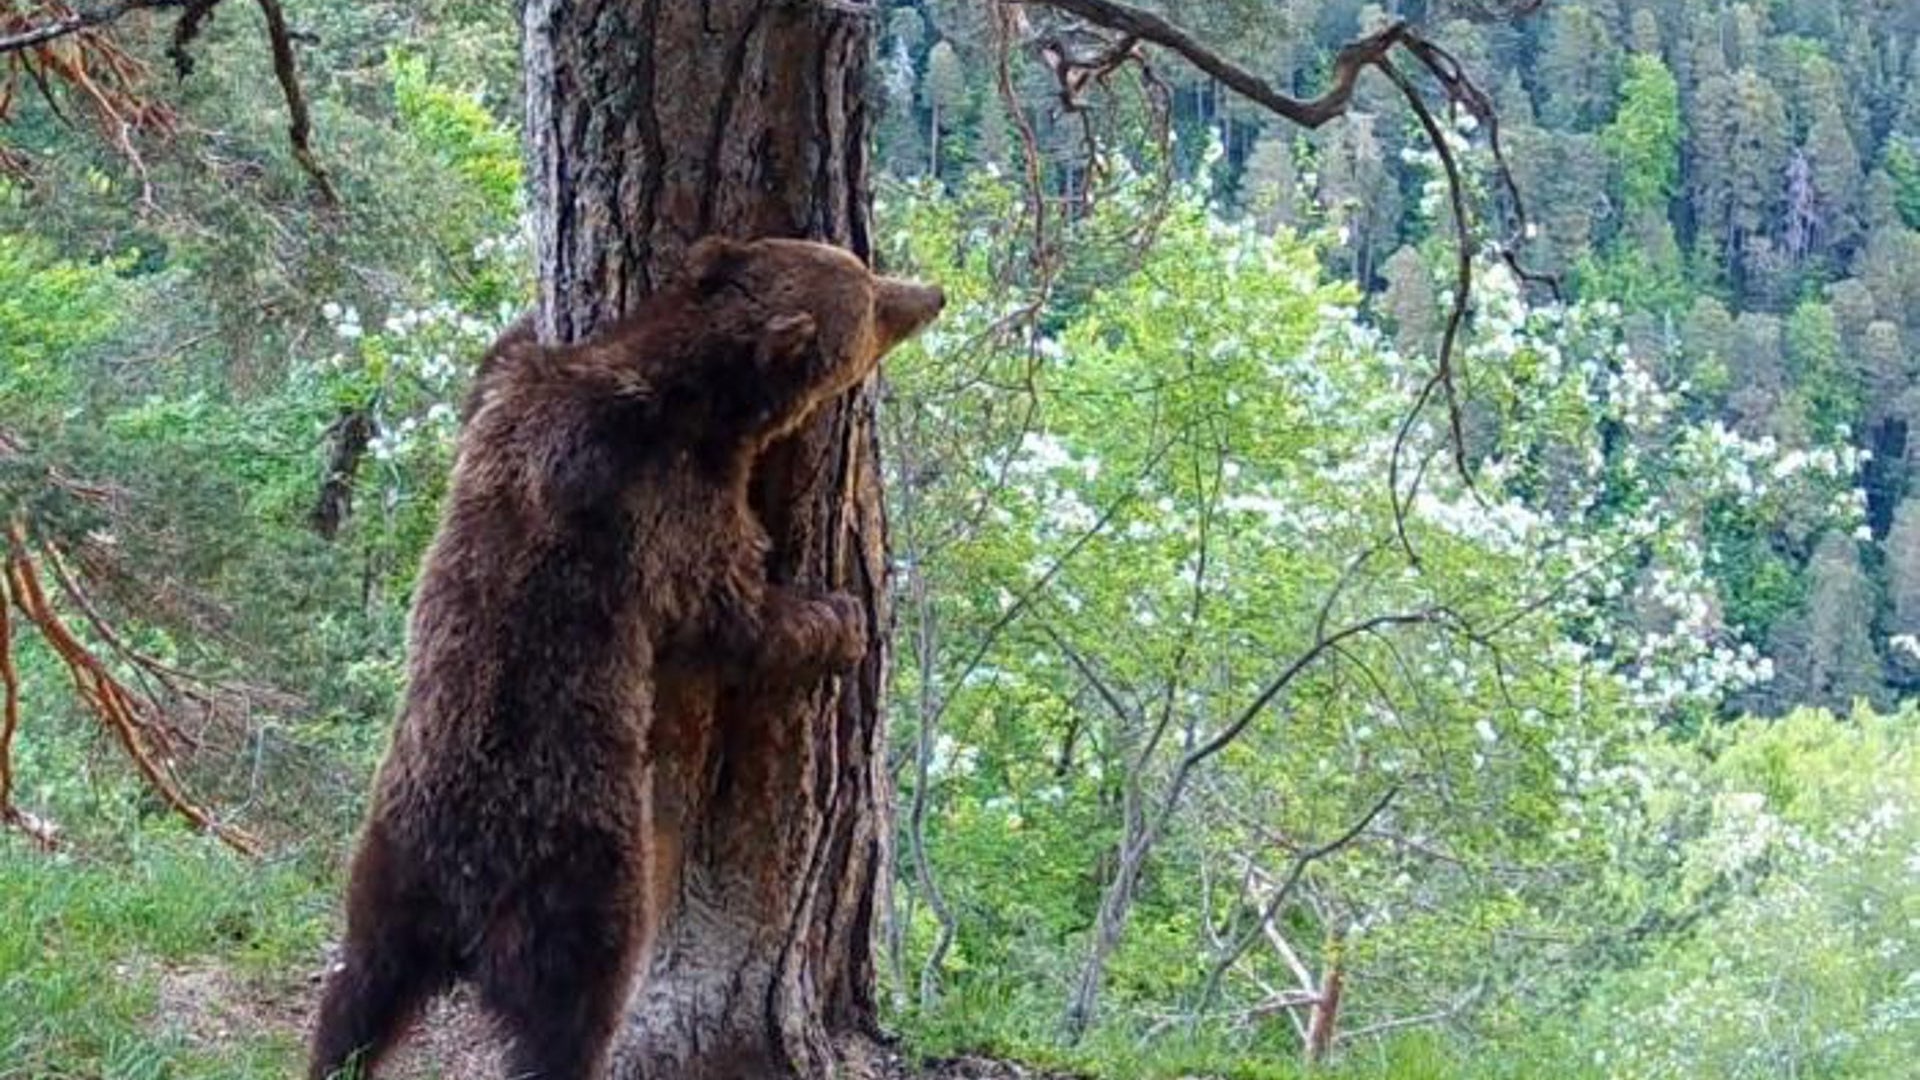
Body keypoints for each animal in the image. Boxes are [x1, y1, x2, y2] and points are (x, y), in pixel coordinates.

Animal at [307, 236, 943, 1080]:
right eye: (870, 302)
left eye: (859, 269)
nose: (930, 296)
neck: (684, 397)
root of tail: (463, 904)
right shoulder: (667, 505)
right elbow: (732, 615)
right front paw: (838, 618)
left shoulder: (512, 409)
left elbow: (496, 367)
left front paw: (520, 315)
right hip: (582, 880)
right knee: (569, 1017)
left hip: (387, 871)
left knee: (354, 997)